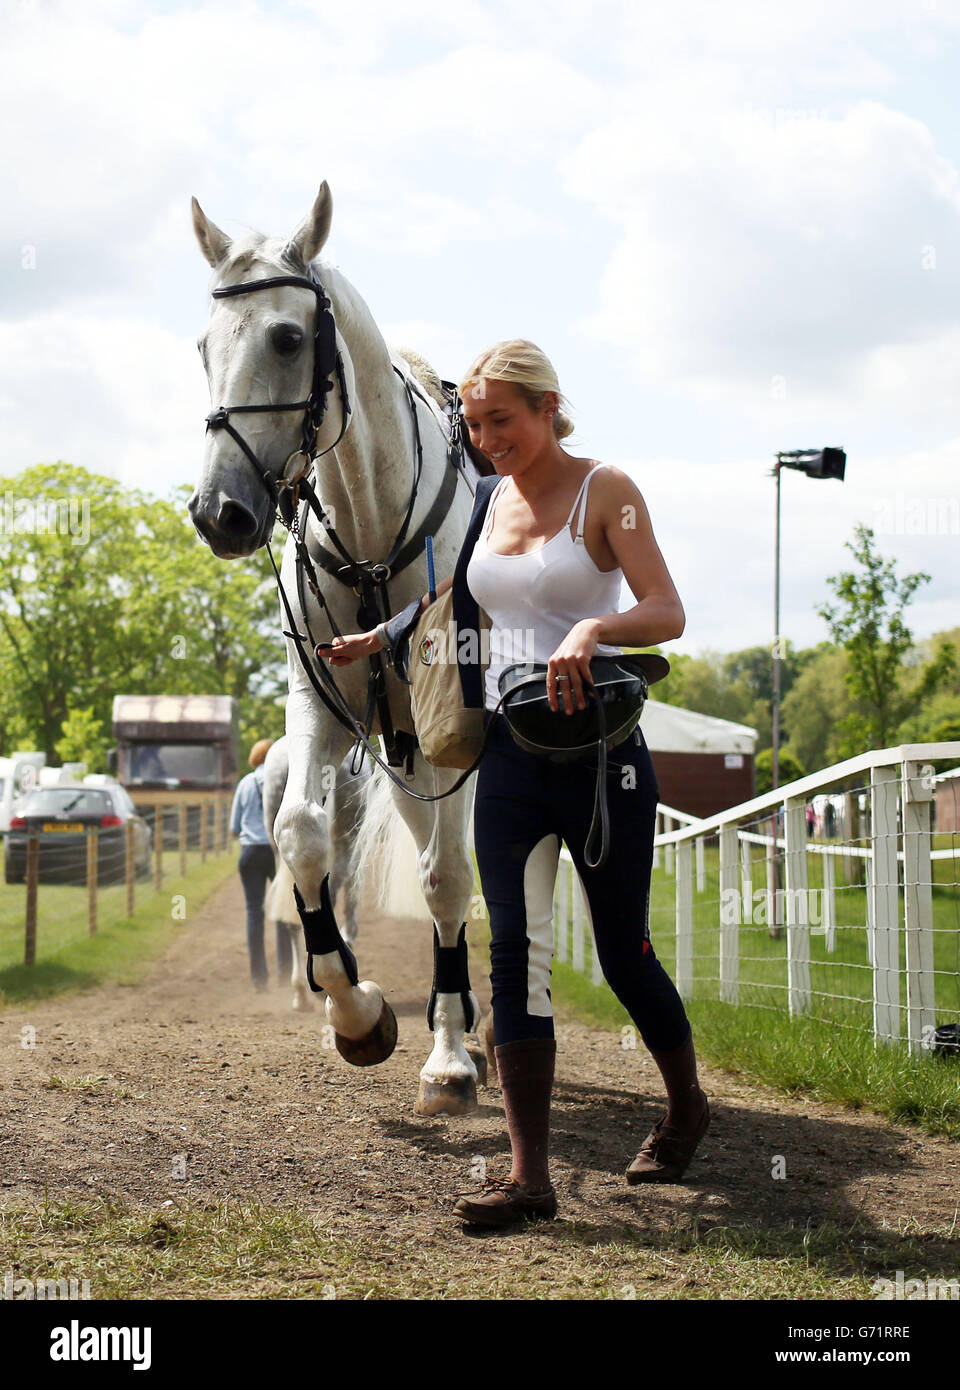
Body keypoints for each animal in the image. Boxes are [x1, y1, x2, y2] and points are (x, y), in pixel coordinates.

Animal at [188, 182, 489, 1113]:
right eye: (204, 346)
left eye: (288, 338)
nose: (219, 511)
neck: (370, 540)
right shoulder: (322, 709)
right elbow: (301, 838)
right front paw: (354, 1012)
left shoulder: (454, 741)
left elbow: (450, 879)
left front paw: (449, 1057)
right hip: (403, 757)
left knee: (459, 872)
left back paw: (473, 1029)